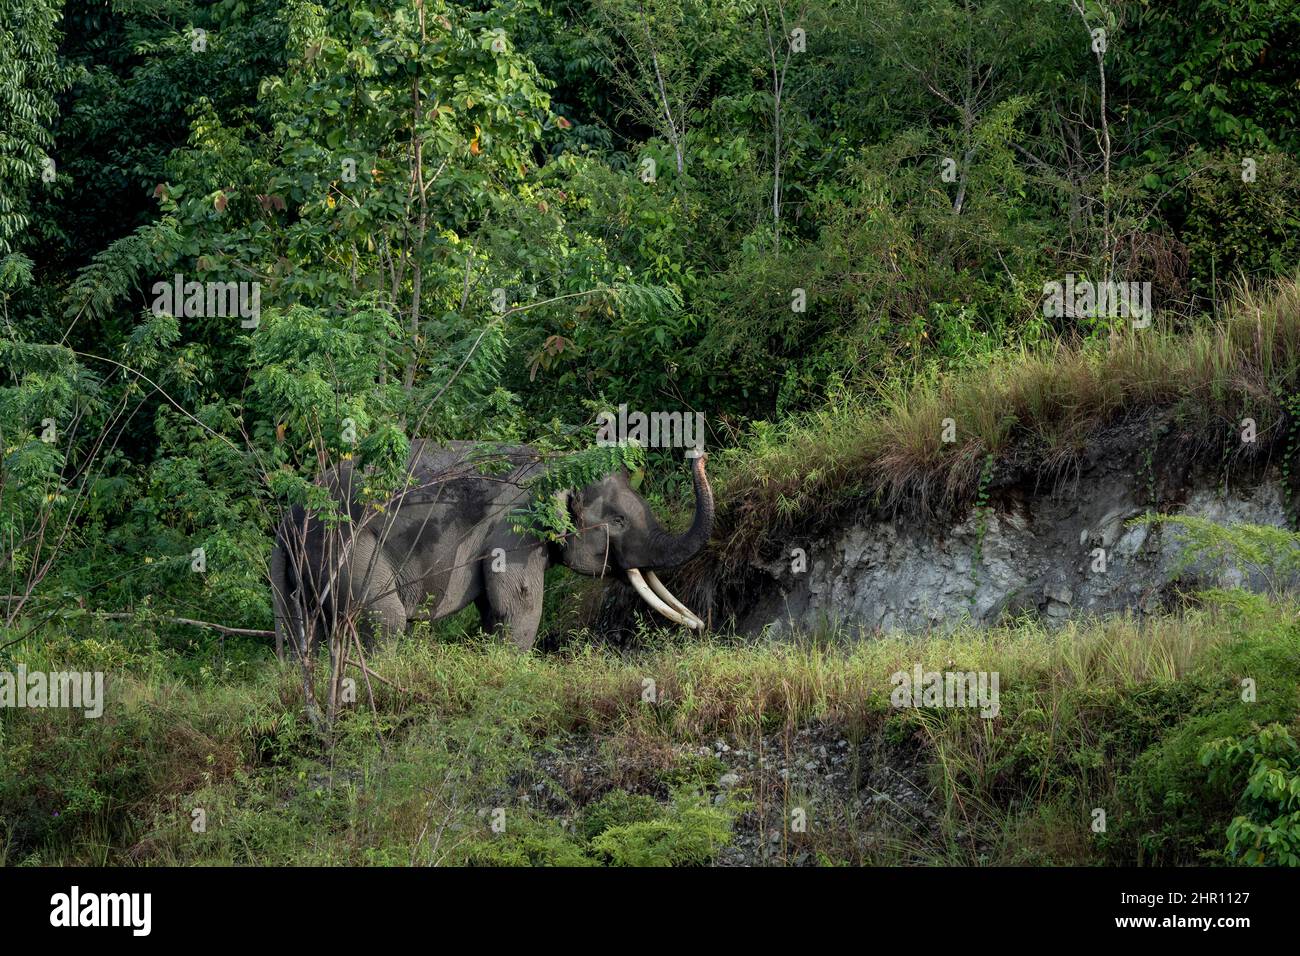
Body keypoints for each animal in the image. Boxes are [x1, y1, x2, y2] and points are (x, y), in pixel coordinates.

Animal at [270, 441, 713, 655]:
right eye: (618, 521)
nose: (699, 452)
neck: (555, 464)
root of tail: (287, 518)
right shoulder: (515, 528)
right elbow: (518, 601)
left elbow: (493, 607)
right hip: (345, 547)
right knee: (385, 618)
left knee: (305, 627)